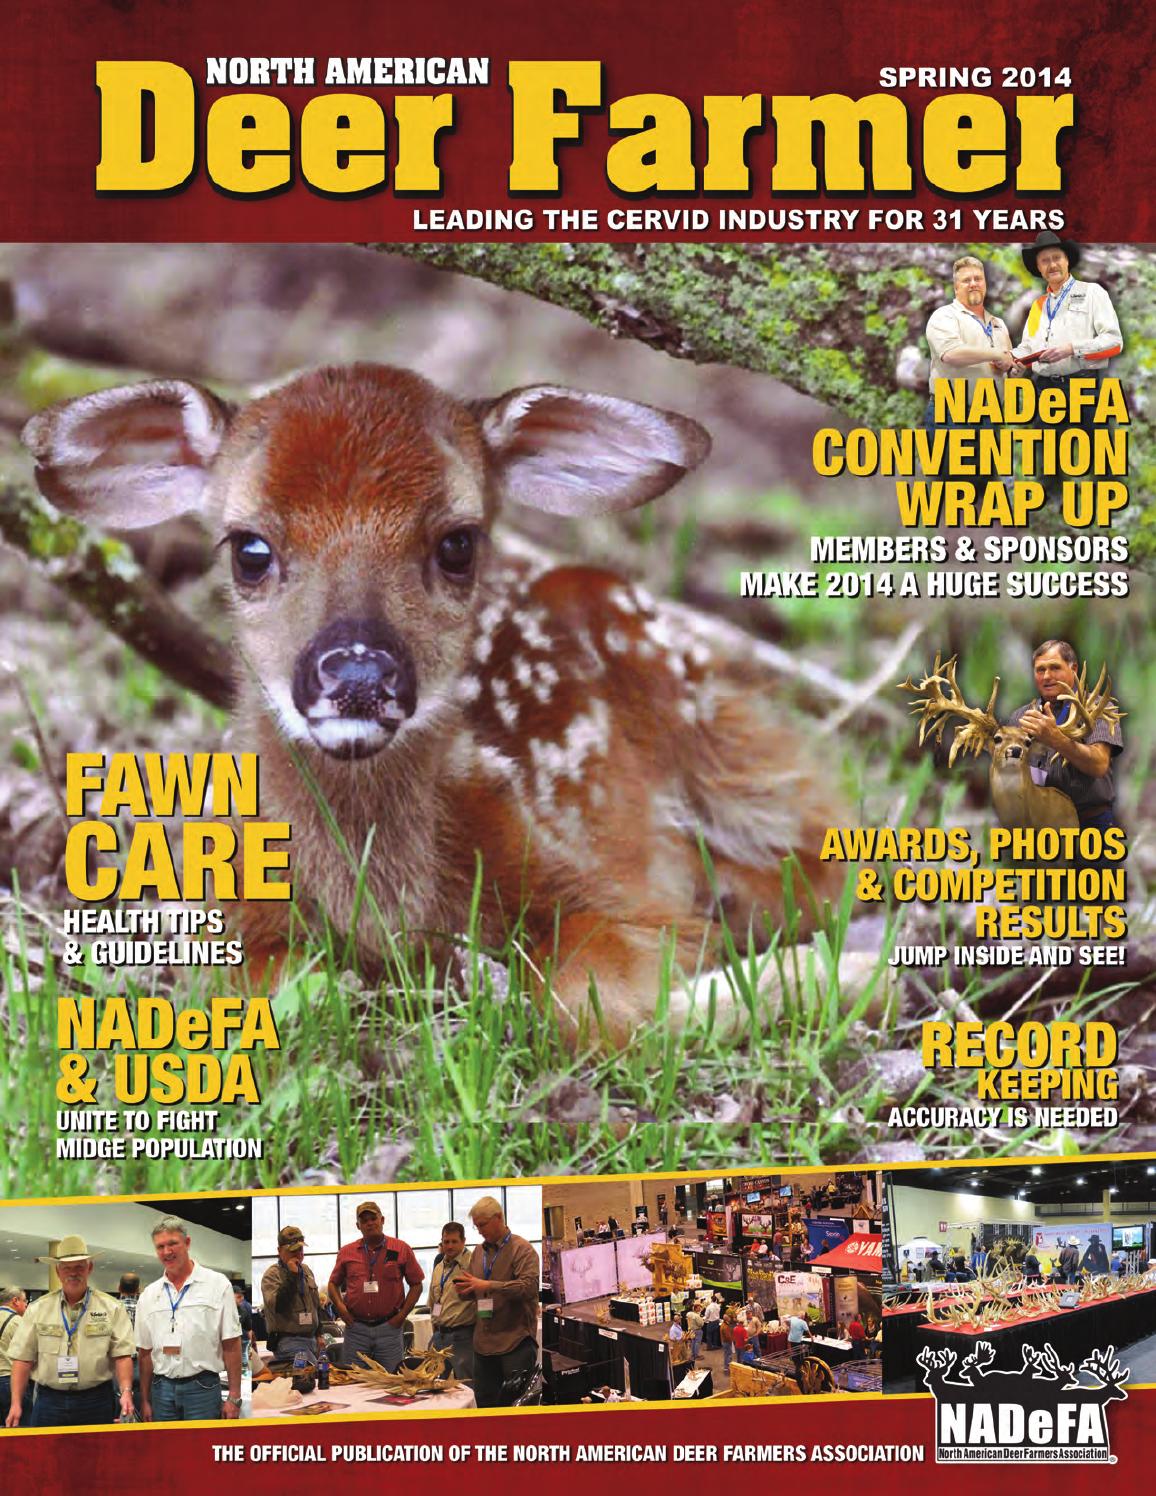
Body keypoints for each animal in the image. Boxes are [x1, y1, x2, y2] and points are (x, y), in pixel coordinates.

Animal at [22, 363, 871, 1047]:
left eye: (458, 543)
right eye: (250, 550)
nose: (357, 671)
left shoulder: (602, 883)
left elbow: (587, 1002)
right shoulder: (231, 907)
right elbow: (279, 997)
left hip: (726, 748)